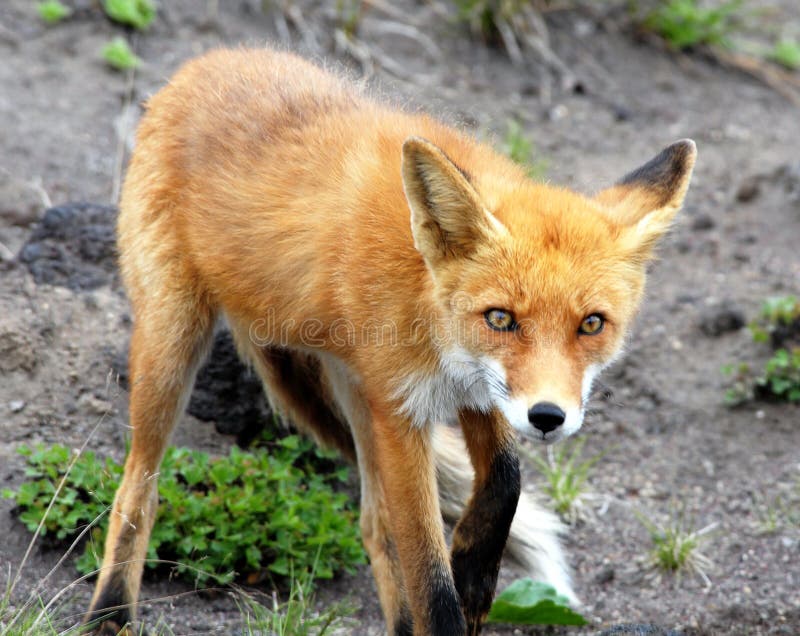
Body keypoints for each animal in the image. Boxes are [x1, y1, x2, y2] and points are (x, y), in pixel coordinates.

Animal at [84, 47, 696, 636]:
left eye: (591, 324)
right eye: (501, 318)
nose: (548, 417)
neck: (423, 290)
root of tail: (197, 66)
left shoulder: (475, 389)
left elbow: (505, 478)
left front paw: (474, 574)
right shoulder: (403, 412)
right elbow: (428, 575)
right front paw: (455, 591)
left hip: (355, 393)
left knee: (374, 525)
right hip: (173, 348)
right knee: (139, 488)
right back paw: (110, 613)